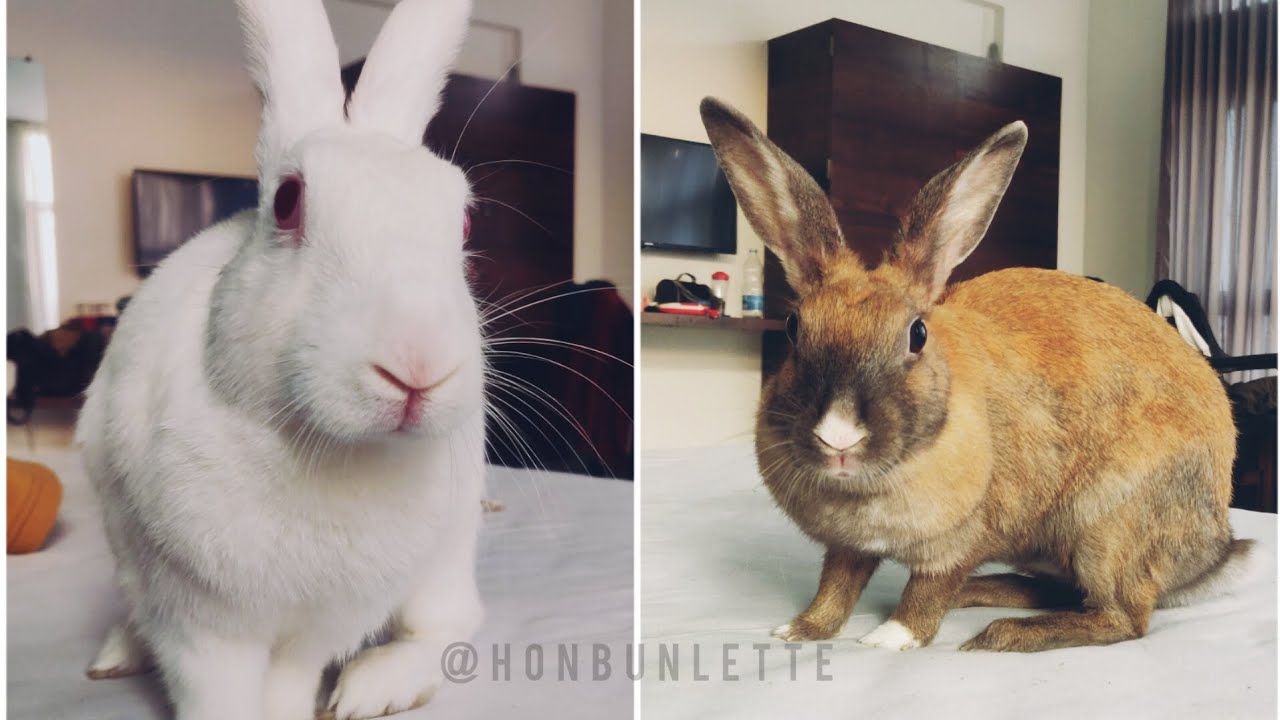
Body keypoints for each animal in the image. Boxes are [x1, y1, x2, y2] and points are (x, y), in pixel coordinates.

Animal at [76, 0, 485, 717]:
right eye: (288, 200)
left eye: (463, 224)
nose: (417, 366)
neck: (329, 454)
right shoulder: (196, 621)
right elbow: (217, 691)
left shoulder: (315, 628)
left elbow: (290, 681)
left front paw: (311, 705)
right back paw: (115, 654)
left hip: (448, 555)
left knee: (449, 627)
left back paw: (367, 689)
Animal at [699, 97, 1255, 653]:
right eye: (794, 329)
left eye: (917, 334)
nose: (838, 437)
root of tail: (1212, 545)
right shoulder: (848, 547)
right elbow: (836, 586)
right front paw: (800, 630)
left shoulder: (961, 542)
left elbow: (925, 593)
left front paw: (888, 639)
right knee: (1063, 592)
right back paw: (981, 598)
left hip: (1107, 530)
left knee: (1122, 617)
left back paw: (1000, 634)